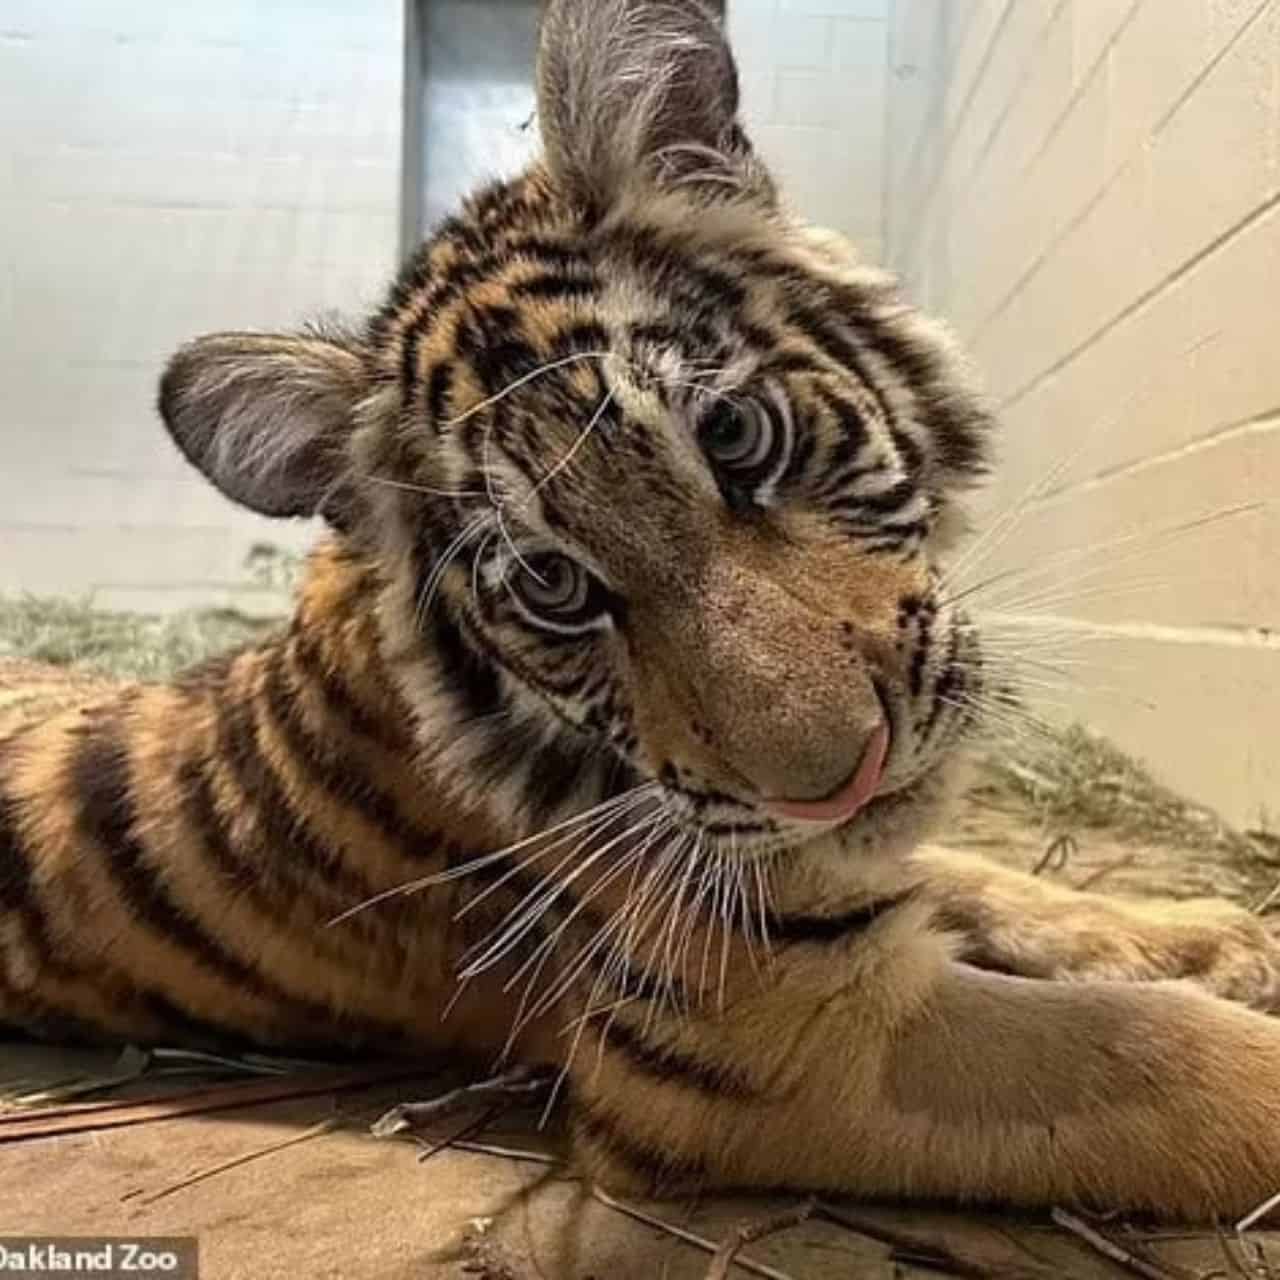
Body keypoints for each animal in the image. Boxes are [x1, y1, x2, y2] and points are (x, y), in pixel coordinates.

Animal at [4, 0, 1280, 1222]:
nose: (839, 782)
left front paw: (1208, 932)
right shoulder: (764, 1037)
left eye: (732, 433)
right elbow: (1159, 1056)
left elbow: (989, 878)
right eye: (551, 583)